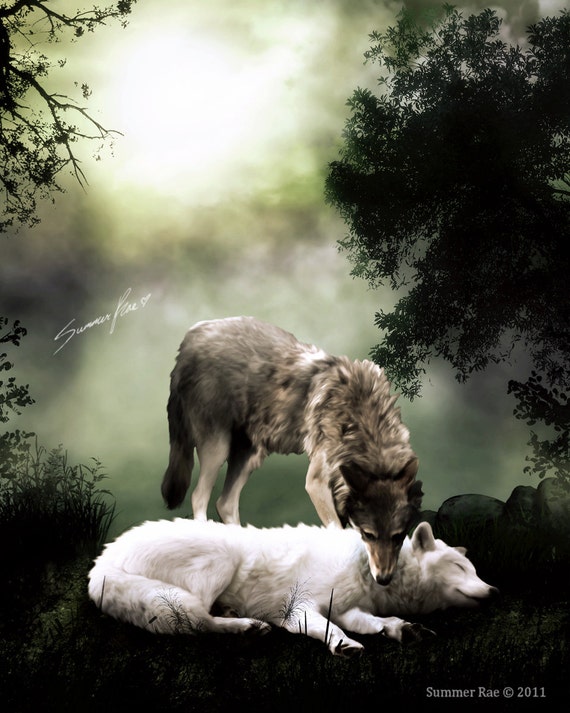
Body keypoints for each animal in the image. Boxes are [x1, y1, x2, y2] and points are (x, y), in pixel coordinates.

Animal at [88, 519, 497, 657]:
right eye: (460, 566)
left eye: (474, 569)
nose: (494, 591)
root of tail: (104, 558)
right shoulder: (298, 609)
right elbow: (330, 629)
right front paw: (344, 646)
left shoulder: (350, 608)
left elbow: (377, 622)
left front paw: (404, 629)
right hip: (220, 559)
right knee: (198, 621)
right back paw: (245, 626)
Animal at [161, 316, 422, 585]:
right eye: (369, 534)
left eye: (398, 536)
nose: (384, 579)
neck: (361, 422)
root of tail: (193, 335)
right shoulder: (316, 483)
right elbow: (336, 531)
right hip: (218, 449)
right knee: (199, 497)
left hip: (250, 457)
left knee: (225, 503)